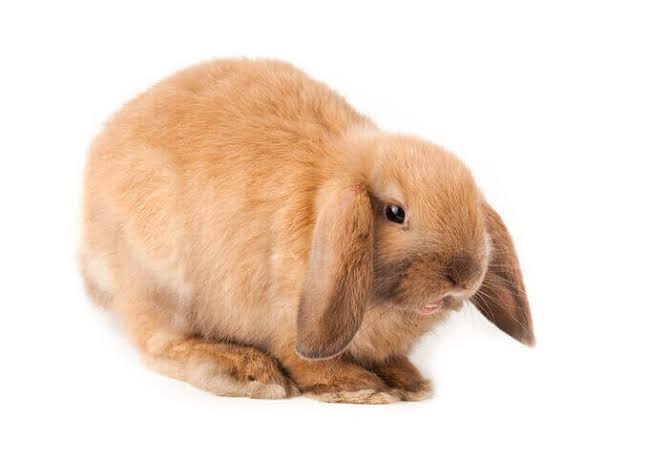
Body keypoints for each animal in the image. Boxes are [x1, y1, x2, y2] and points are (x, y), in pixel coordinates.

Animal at [79, 58, 534, 404]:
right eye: (395, 212)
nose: (463, 275)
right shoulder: (286, 317)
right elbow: (306, 359)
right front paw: (360, 389)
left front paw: (409, 382)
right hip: (159, 275)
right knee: (158, 342)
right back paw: (245, 371)